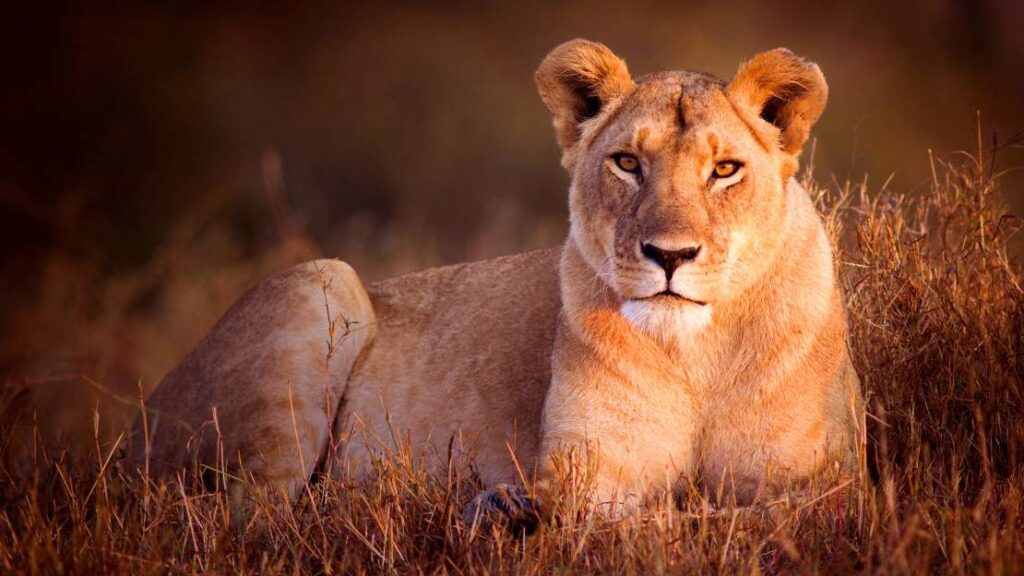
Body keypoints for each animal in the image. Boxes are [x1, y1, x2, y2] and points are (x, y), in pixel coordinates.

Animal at [129, 39, 862, 524]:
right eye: (627, 163)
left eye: (725, 169)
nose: (669, 255)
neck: (695, 355)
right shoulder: (587, 477)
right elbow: (638, 522)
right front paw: (510, 507)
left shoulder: (819, 479)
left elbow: (762, 515)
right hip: (319, 281)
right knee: (247, 519)